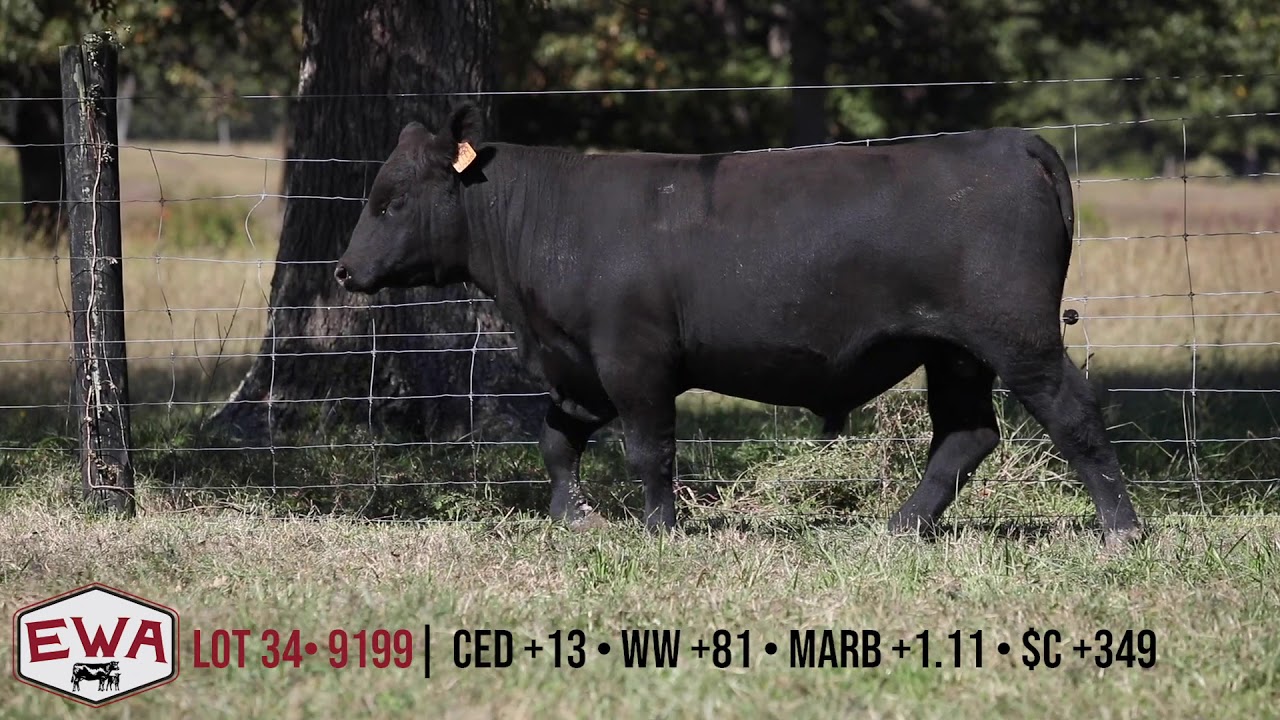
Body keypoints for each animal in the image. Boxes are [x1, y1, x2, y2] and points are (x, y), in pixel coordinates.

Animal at [333, 104, 1144, 548]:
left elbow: (650, 449)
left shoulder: (634, 359)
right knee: (966, 433)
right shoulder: (579, 365)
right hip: (951, 350)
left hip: (1018, 334)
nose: (343, 271)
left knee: (1073, 412)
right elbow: (556, 440)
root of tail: (1011, 142)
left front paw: (661, 530)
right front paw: (574, 517)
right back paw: (901, 526)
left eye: (391, 201)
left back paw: (1123, 529)